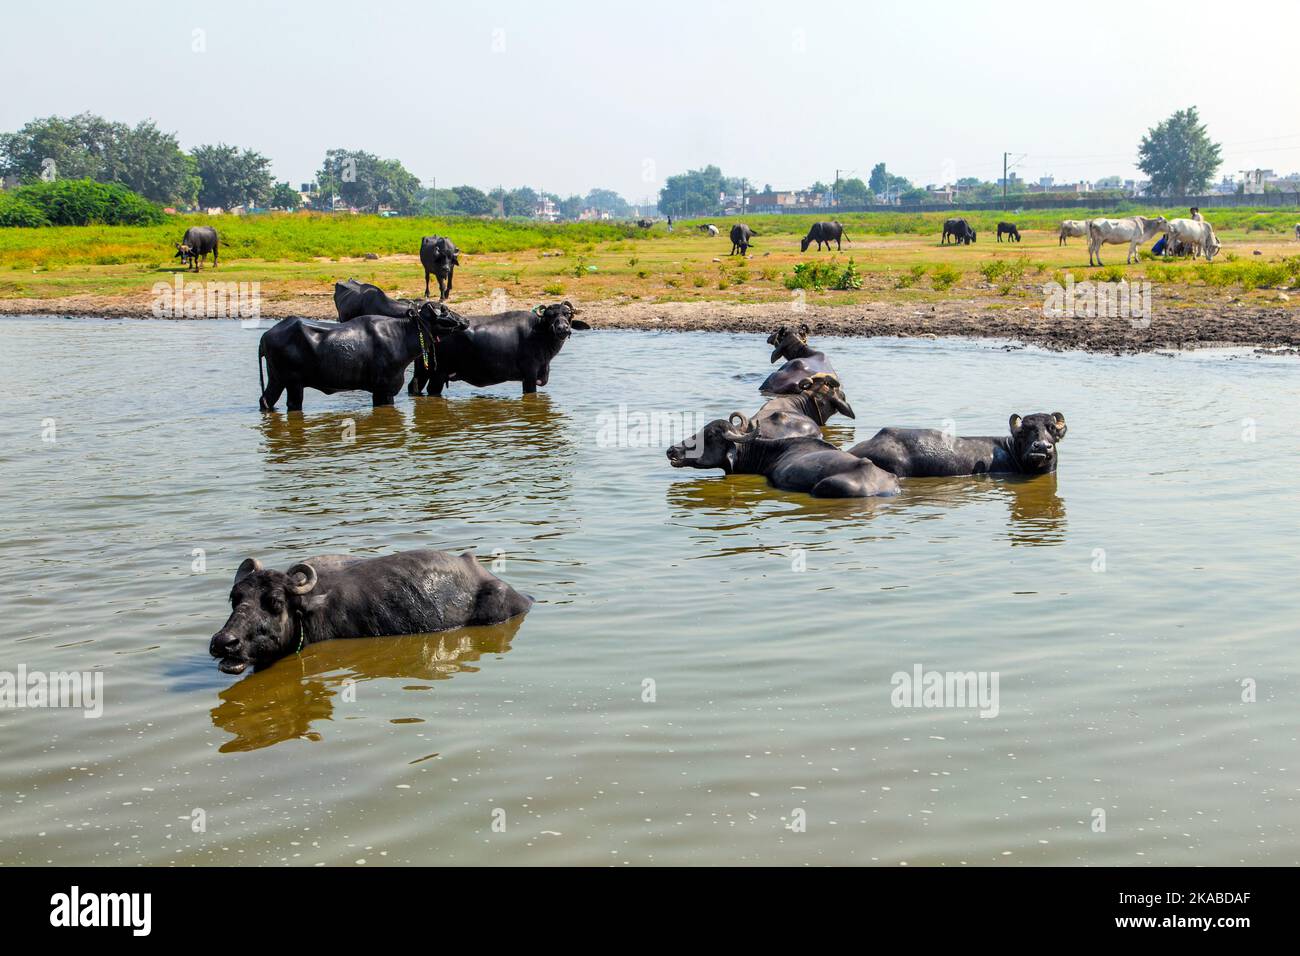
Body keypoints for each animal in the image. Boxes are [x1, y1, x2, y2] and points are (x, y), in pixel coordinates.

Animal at [258, 307, 467, 411]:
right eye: (444, 313)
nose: (465, 320)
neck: (402, 334)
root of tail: (266, 335)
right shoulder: (384, 390)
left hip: (277, 379)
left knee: (266, 400)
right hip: (294, 383)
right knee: (292, 404)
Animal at [408, 301, 590, 397]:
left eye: (567, 314)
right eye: (550, 316)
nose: (562, 328)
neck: (539, 335)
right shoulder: (529, 375)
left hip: (422, 370)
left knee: (414, 387)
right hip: (438, 373)